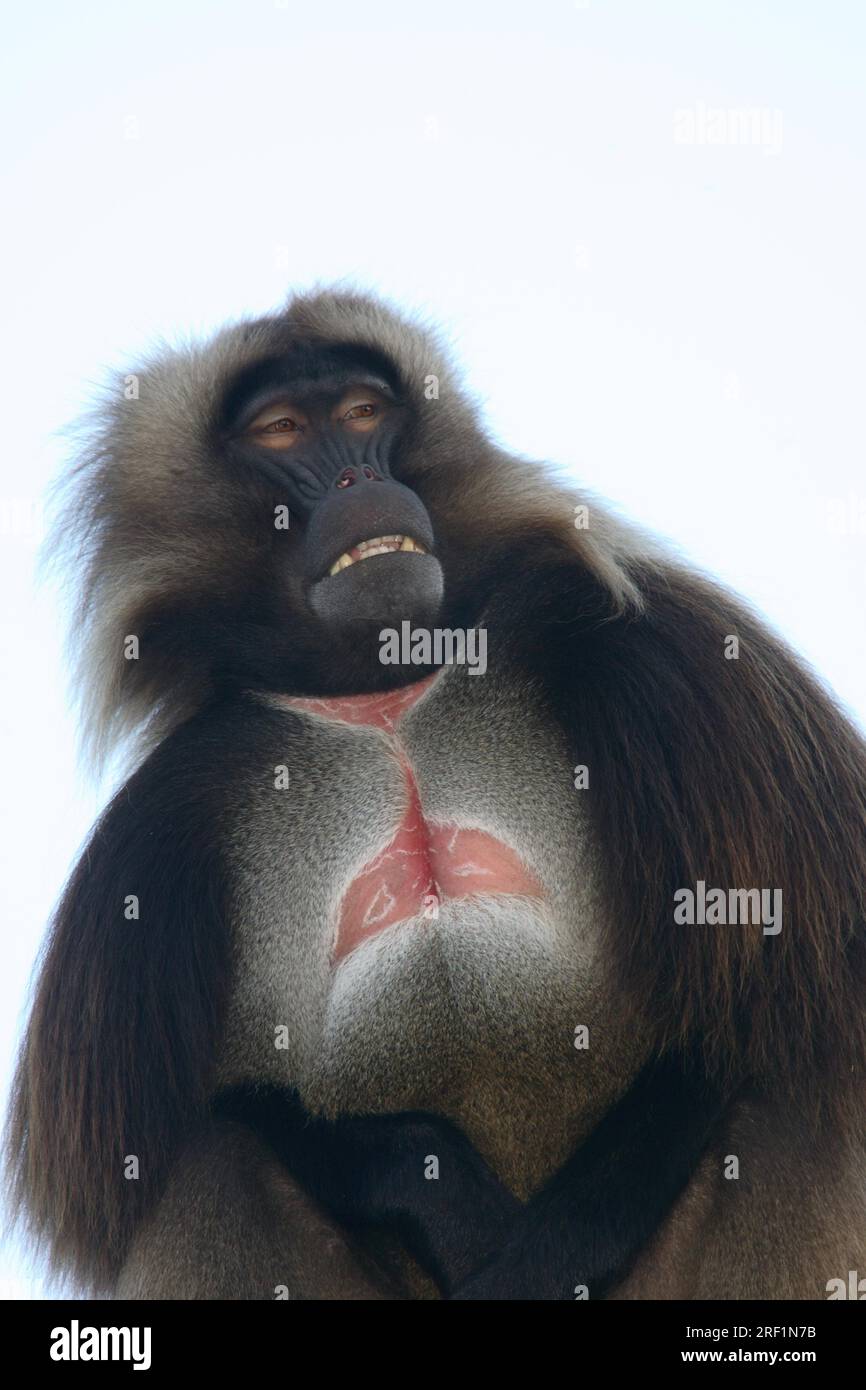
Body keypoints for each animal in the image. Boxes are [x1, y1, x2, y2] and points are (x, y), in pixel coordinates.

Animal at [6, 287, 866, 1300]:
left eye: (364, 413)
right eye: (282, 429)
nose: (357, 480)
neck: (384, 693)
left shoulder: (676, 663)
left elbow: (761, 1012)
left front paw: (534, 1260)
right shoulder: (161, 824)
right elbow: (199, 1136)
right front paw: (421, 1179)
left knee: (783, 1093)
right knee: (216, 1161)